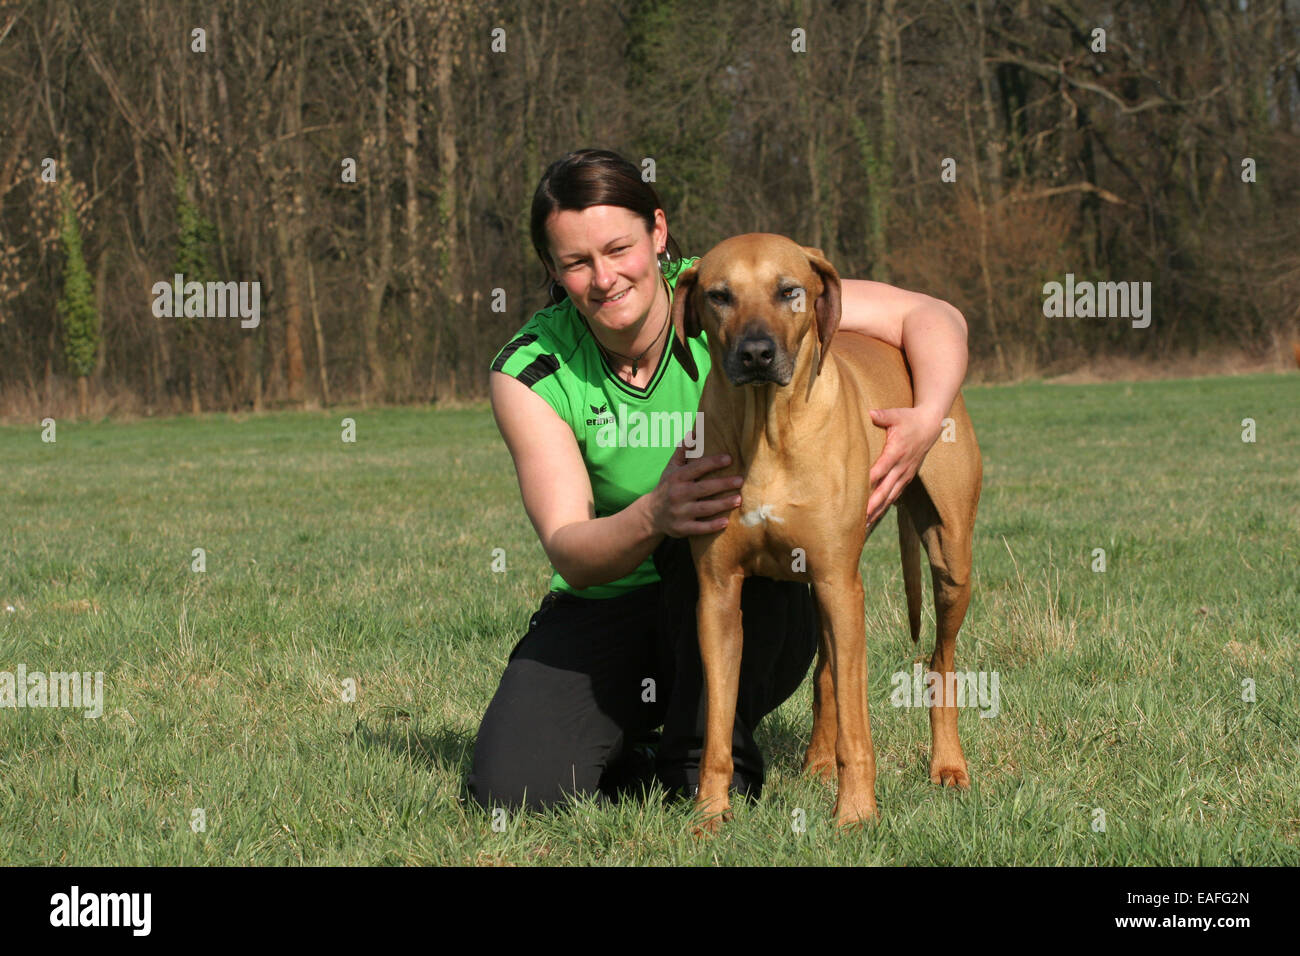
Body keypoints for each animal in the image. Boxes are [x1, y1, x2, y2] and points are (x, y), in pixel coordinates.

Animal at [670, 234, 982, 832]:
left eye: (789, 291)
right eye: (720, 296)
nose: (757, 354)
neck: (767, 426)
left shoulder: (842, 582)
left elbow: (858, 732)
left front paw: (857, 814)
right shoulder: (717, 594)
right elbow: (718, 725)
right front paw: (710, 813)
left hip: (950, 560)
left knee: (940, 662)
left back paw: (947, 766)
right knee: (828, 674)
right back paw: (817, 763)